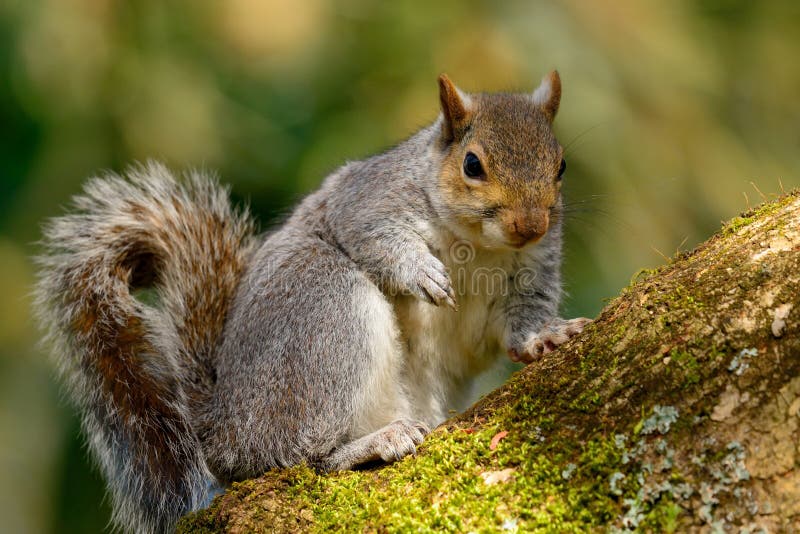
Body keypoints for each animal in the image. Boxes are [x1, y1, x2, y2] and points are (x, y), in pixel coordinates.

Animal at [34, 71, 591, 533]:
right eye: (472, 164)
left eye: (561, 165)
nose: (530, 225)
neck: (481, 245)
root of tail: (223, 431)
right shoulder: (368, 201)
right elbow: (374, 236)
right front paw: (422, 272)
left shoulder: (531, 272)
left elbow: (517, 327)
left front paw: (548, 336)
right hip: (327, 313)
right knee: (302, 456)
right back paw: (373, 443)